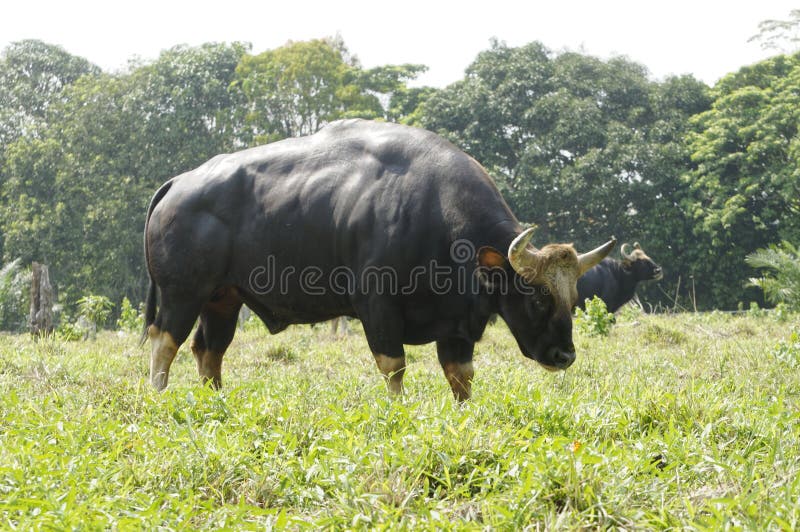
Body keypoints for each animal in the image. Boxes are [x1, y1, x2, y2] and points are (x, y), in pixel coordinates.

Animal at [143, 119, 616, 401]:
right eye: (536, 298)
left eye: (573, 300)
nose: (564, 356)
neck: (436, 215)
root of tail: (179, 184)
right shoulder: (377, 308)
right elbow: (394, 367)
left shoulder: (456, 324)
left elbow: (460, 375)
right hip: (182, 294)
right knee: (165, 344)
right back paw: (159, 397)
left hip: (223, 298)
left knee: (209, 349)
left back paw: (214, 400)